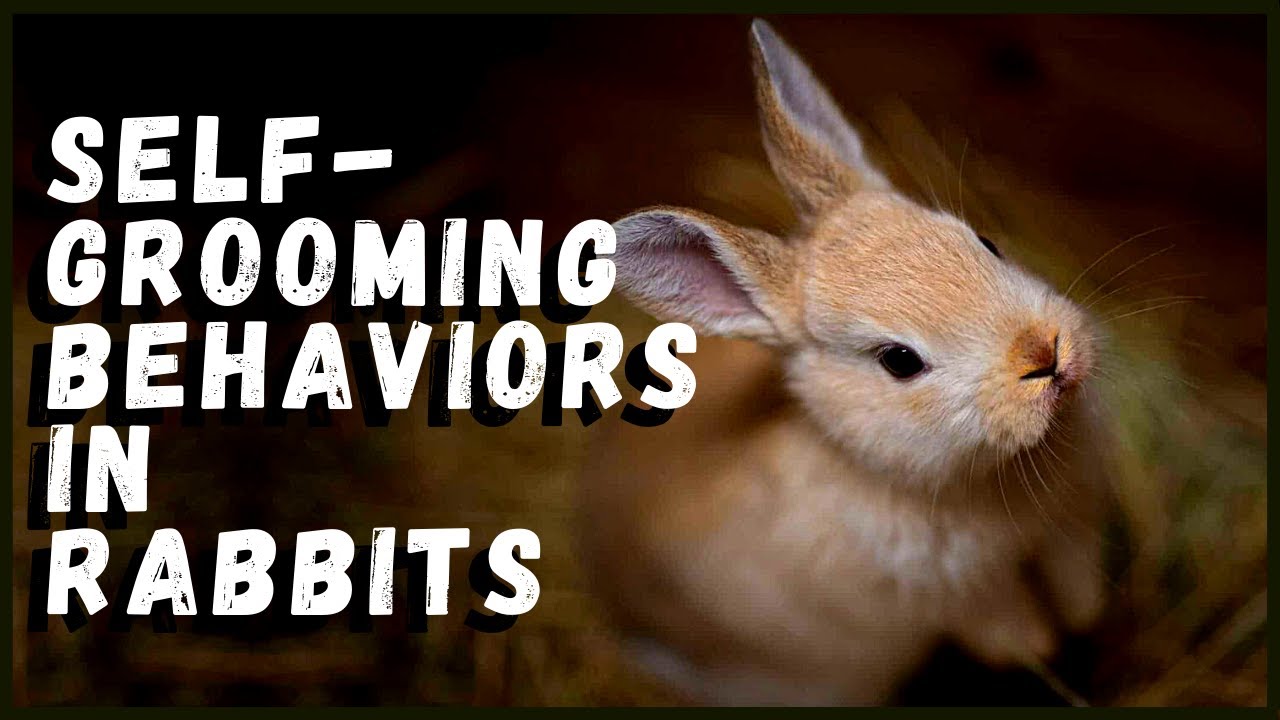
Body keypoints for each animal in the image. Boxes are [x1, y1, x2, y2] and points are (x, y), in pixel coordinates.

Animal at [581, 19, 1110, 706]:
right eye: (899, 360)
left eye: (986, 242)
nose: (1046, 355)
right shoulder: (962, 599)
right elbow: (1006, 626)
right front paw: (1044, 648)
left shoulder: (1071, 521)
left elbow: (1078, 576)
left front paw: (1086, 617)